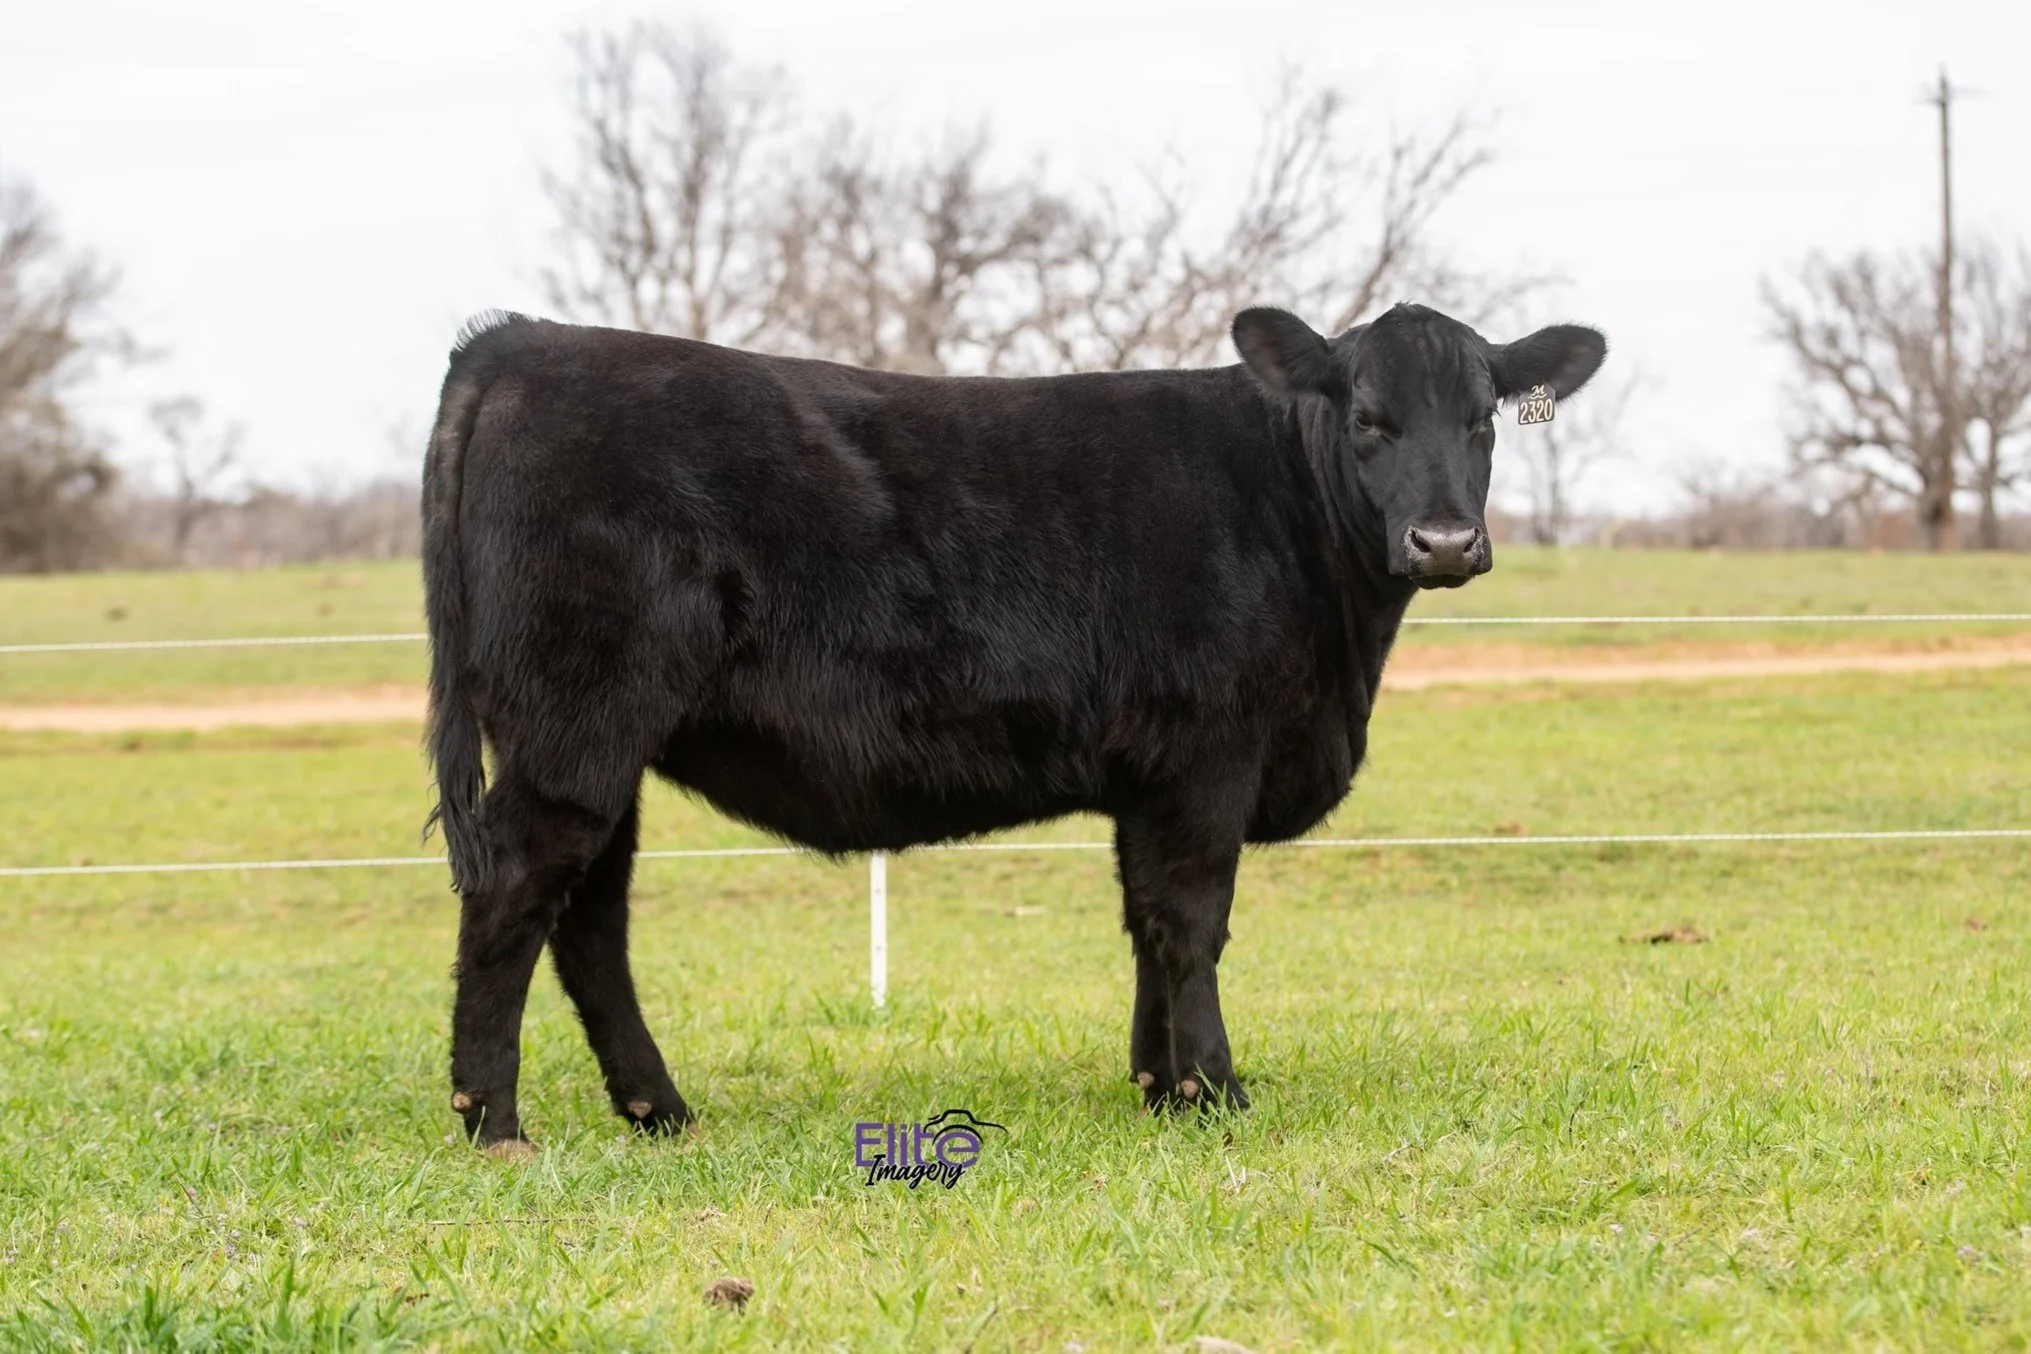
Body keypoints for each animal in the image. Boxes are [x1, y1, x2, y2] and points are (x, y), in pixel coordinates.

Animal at [421, 301, 1606, 1150]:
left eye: (1484, 417)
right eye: (1367, 419)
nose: (1443, 541)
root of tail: (526, 339)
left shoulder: (1148, 775)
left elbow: (1144, 922)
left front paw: (1158, 1088)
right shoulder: (1209, 753)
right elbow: (1195, 921)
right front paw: (1217, 1091)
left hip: (596, 740)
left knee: (590, 917)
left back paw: (657, 1111)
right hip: (578, 724)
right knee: (518, 890)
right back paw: (495, 1123)